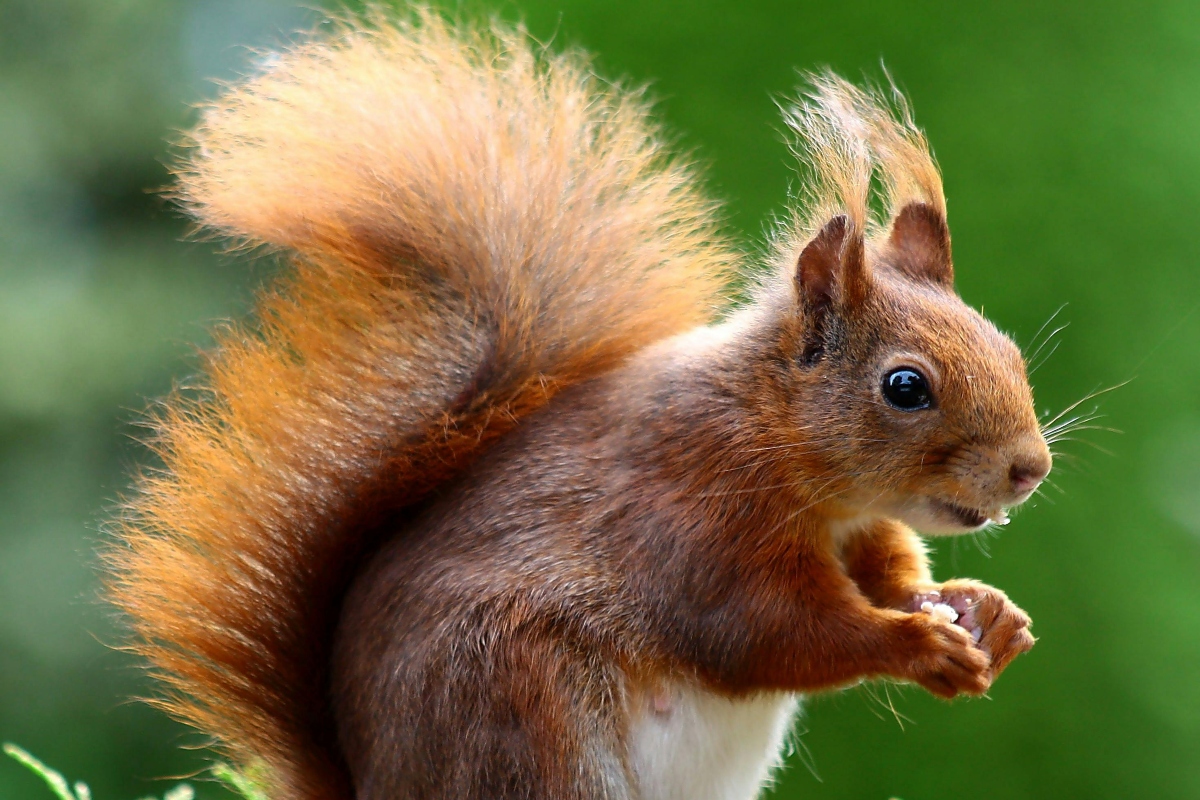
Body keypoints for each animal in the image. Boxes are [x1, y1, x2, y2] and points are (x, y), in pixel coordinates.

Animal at [106, 10, 1052, 800]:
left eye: (1007, 348)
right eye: (906, 387)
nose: (1030, 469)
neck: (778, 437)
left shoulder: (858, 529)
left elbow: (892, 573)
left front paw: (983, 610)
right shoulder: (694, 518)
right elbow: (766, 634)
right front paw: (914, 644)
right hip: (524, 715)